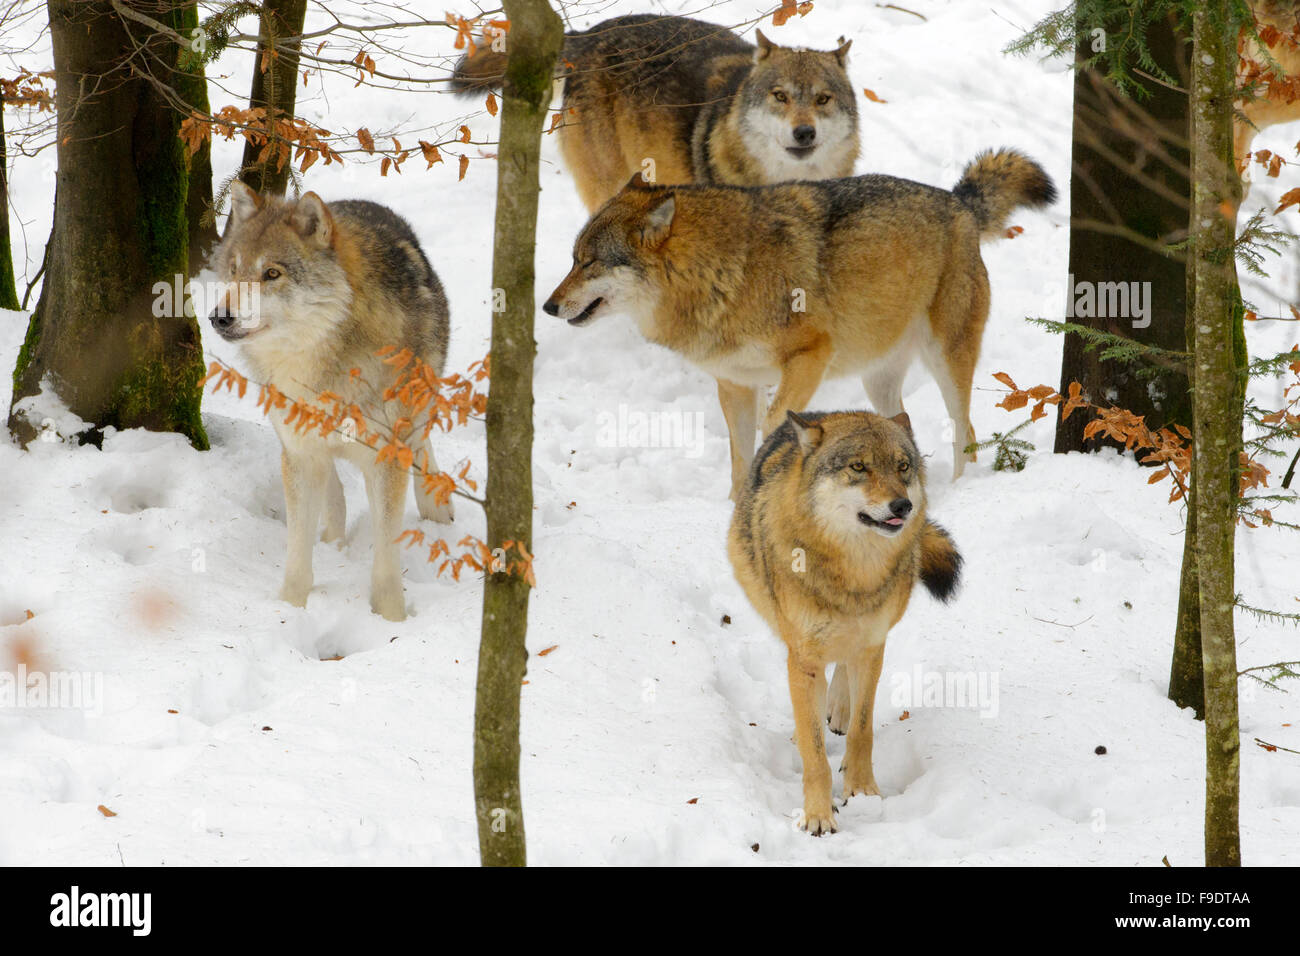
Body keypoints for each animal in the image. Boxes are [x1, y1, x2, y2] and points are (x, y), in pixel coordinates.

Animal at [208, 182, 453, 622]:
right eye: (234, 270)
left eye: (272, 273)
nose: (219, 317)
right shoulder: (301, 454)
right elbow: (297, 552)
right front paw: (291, 609)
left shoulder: (386, 458)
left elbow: (386, 558)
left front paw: (391, 619)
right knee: (333, 487)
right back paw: (334, 535)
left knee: (421, 440)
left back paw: (435, 503)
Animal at [543, 149, 1056, 498]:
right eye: (573, 259)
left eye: (589, 263)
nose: (548, 306)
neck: (725, 273)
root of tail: (959, 203)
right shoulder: (735, 384)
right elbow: (738, 458)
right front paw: (736, 507)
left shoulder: (811, 356)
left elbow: (773, 426)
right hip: (878, 381)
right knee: (903, 426)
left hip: (946, 362)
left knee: (965, 432)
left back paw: (960, 491)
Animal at [728, 409, 961, 835]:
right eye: (858, 467)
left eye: (902, 467)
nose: (902, 505)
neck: (855, 574)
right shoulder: (803, 657)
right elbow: (814, 753)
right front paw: (818, 816)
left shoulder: (872, 646)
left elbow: (862, 731)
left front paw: (863, 790)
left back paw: (837, 708)